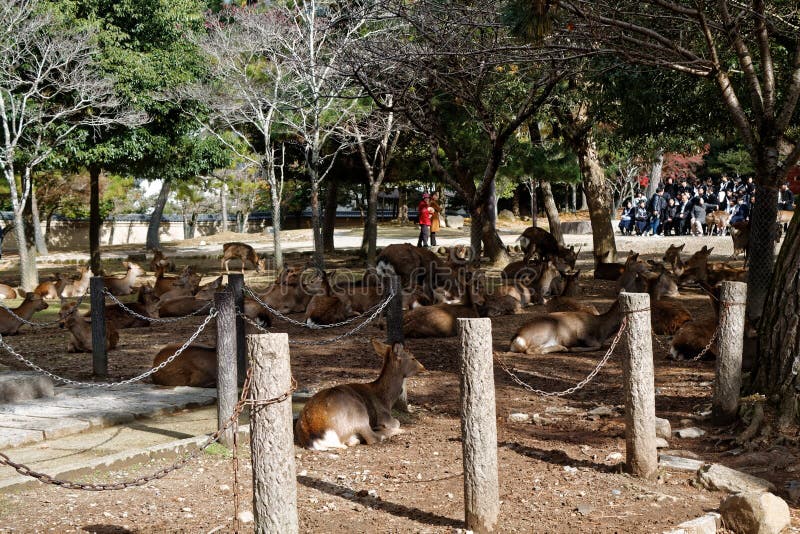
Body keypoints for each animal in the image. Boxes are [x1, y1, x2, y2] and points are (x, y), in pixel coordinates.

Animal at [295, 340, 425, 450]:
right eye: (413, 358)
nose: (424, 368)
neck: (386, 400)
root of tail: (317, 439)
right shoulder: (385, 416)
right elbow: (397, 422)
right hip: (360, 413)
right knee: (373, 438)